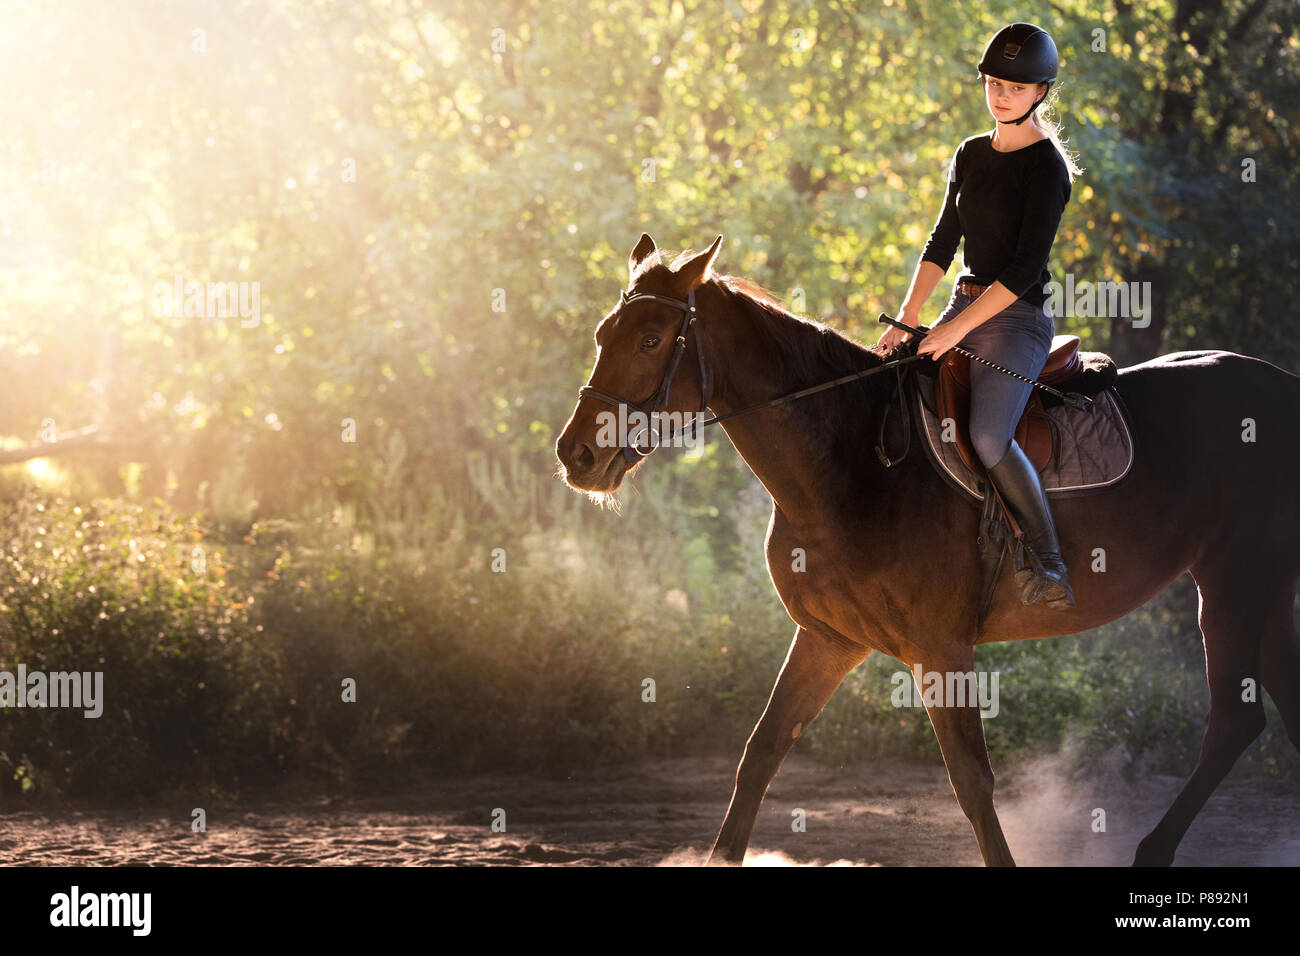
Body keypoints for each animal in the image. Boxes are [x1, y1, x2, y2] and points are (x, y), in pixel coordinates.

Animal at [555, 232, 1300, 866]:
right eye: (602, 335)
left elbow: (971, 782)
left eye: (652, 339)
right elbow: (760, 754)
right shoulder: (830, 638)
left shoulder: (941, 649)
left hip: (1235, 584)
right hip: (1263, 592)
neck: (849, 461)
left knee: (1234, 722)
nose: (576, 454)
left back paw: (1152, 852)